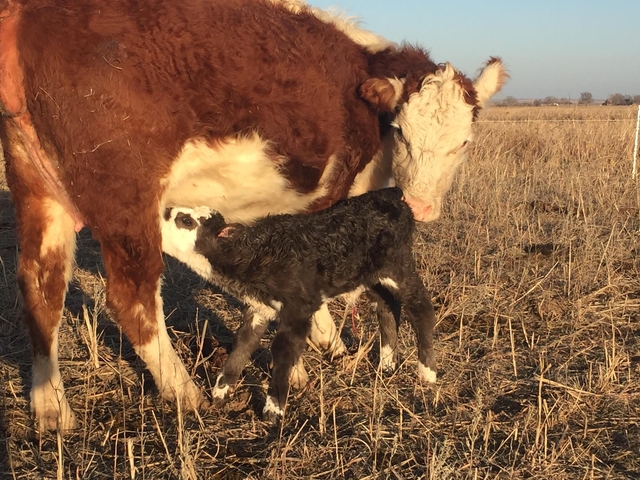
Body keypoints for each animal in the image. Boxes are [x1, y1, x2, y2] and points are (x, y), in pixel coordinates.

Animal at [162, 187, 436, 421]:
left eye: (186, 221)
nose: (164, 210)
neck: (255, 253)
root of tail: (391, 193)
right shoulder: (259, 307)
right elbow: (243, 343)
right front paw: (221, 392)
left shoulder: (298, 308)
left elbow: (283, 350)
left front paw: (273, 410)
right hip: (372, 274)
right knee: (387, 306)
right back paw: (387, 364)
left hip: (398, 264)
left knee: (421, 308)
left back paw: (427, 373)